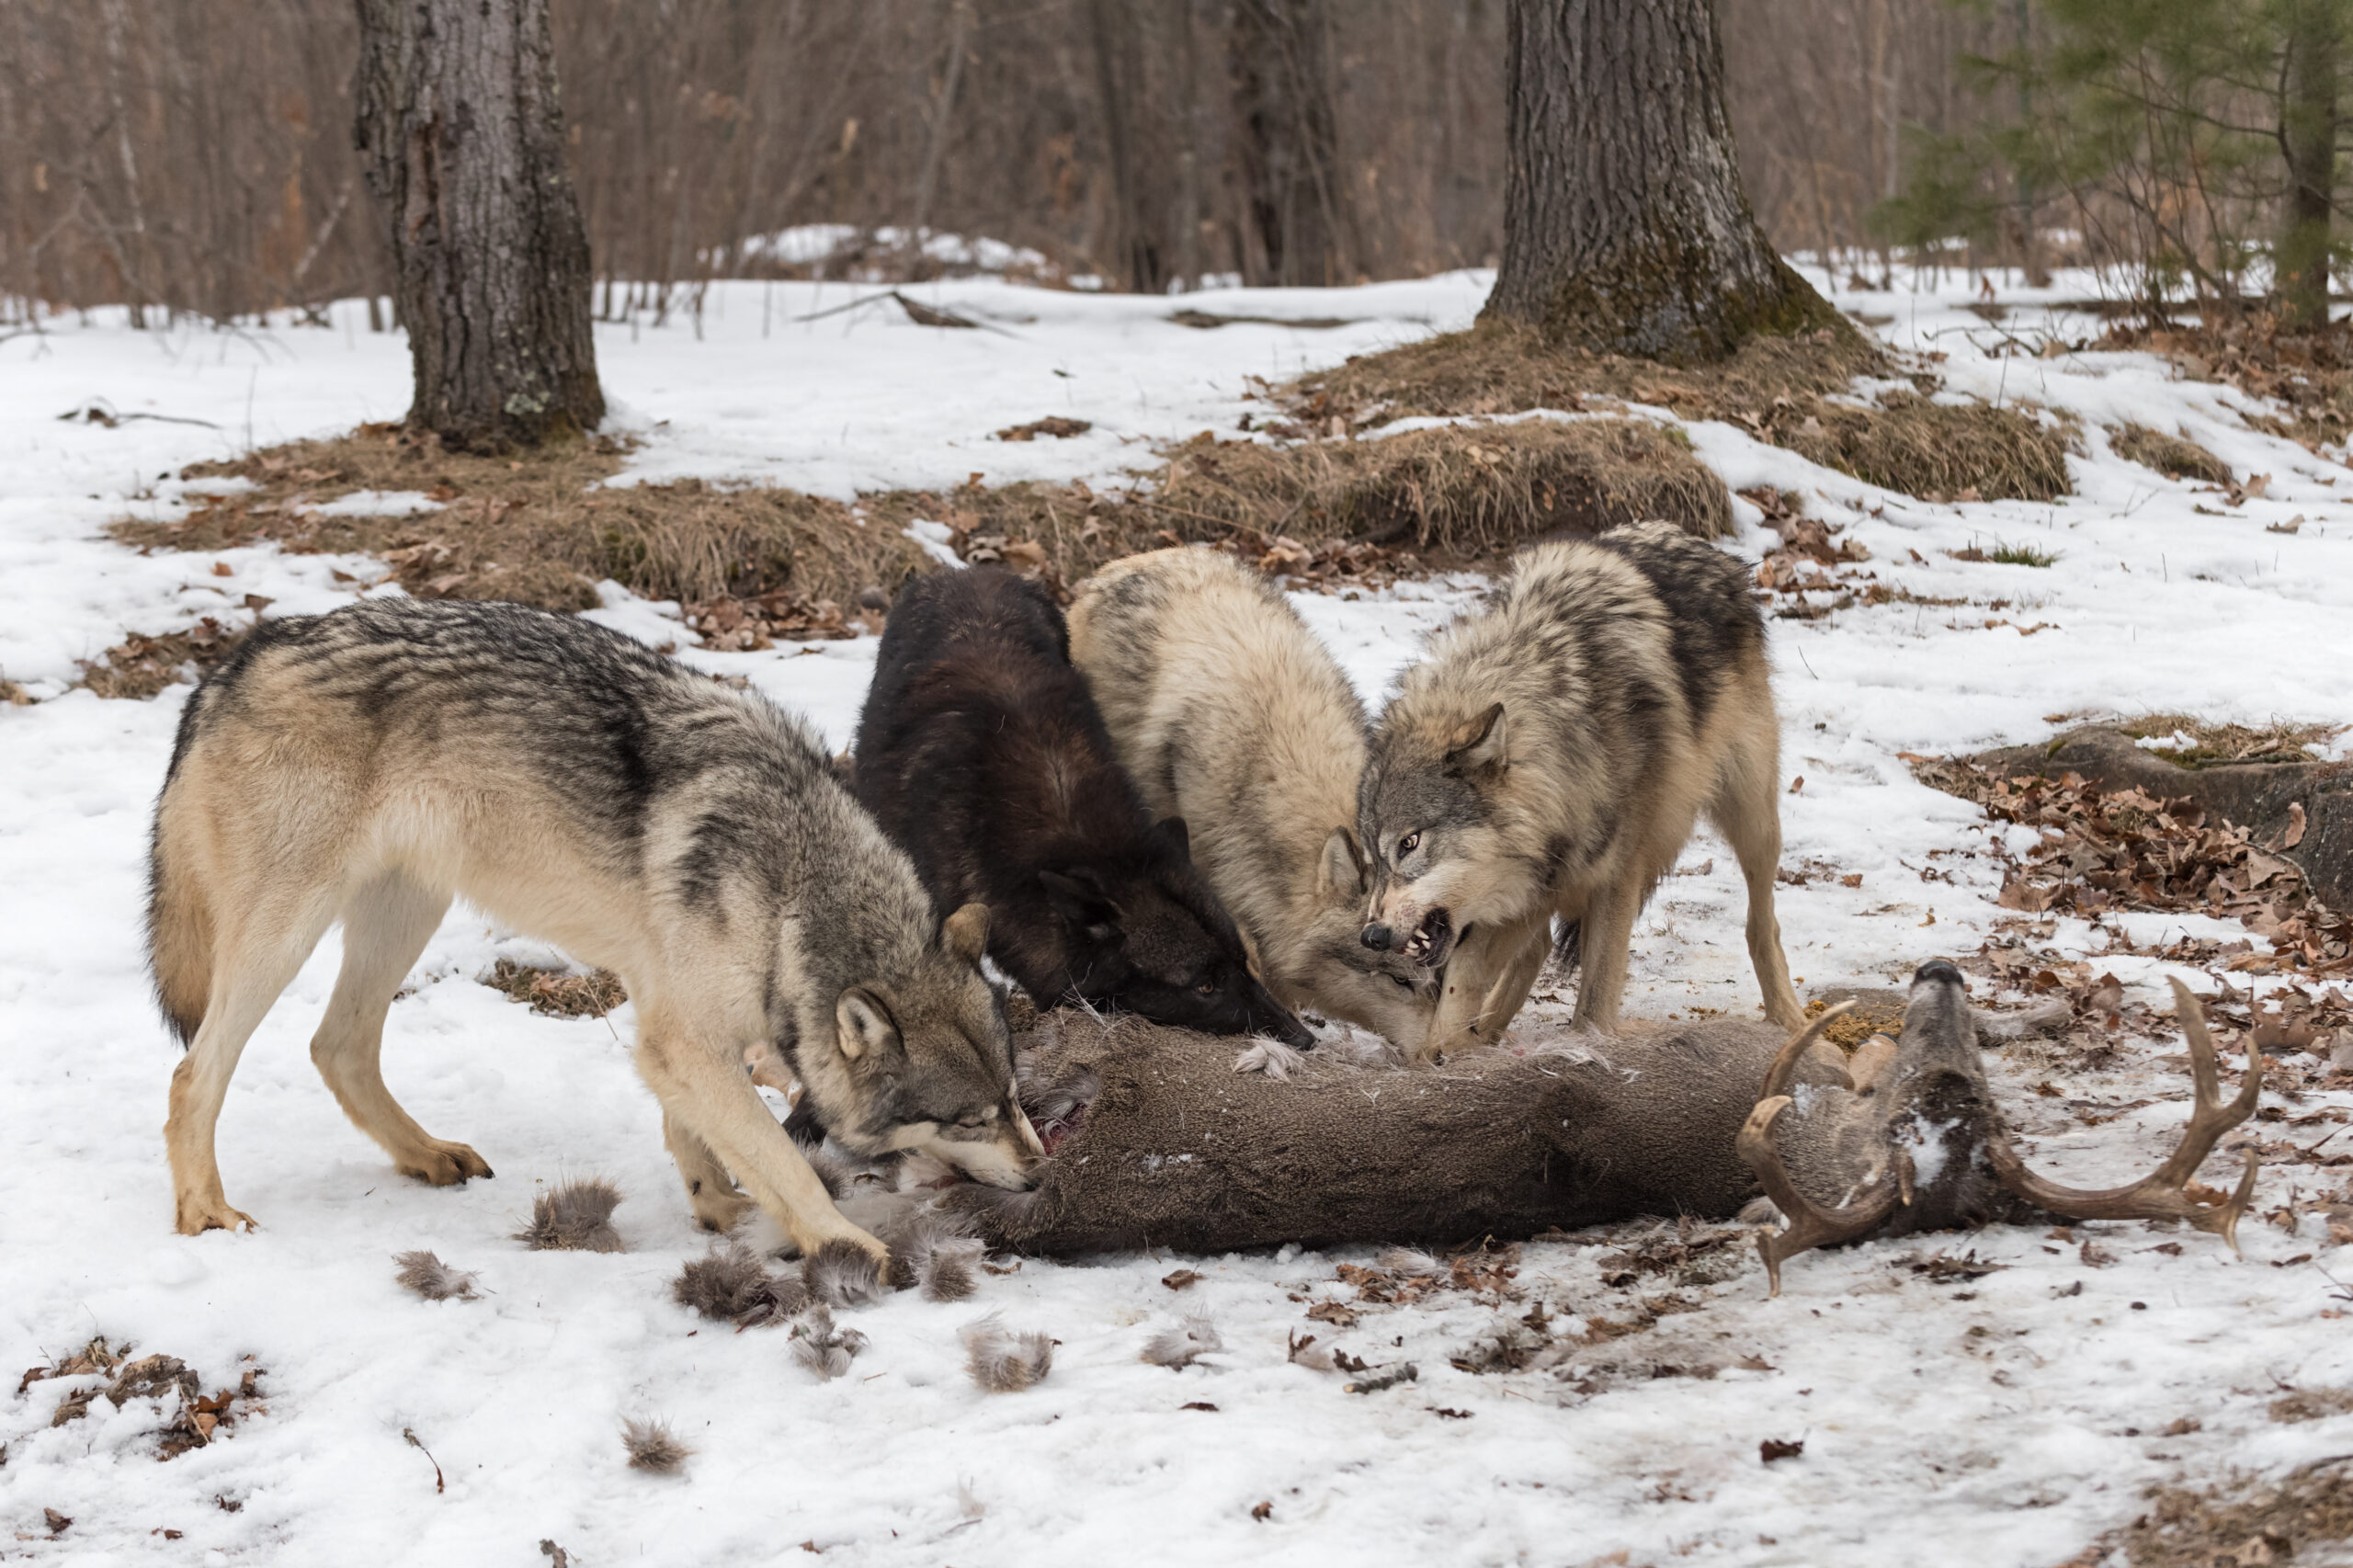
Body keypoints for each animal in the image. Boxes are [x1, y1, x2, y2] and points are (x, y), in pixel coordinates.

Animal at [148, 597, 1039, 1264]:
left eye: (1011, 1097)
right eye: (967, 1120)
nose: (1040, 1175)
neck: (793, 888)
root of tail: (239, 656)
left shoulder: (669, 1021)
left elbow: (698, 1131)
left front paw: (719, 1206)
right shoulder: (685, 1037)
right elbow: (783, 1159)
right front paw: (850, 1247)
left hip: (406, 913)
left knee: (337, 1046)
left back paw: (425, 1155)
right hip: (285, 935)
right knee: (195, 1072)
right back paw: (206, 1215)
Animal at [1357, 522, 1804, 1056]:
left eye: (1410, 842)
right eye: (1373, 860)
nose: (1372, 936)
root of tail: (1697, 542)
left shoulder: (1616, 874)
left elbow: (1594, 994)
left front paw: (1587, 1045)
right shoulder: (1528, 884)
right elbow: (1461, 986)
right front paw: (1444, 1051)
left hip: (1751, 817)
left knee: (1764, 924)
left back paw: (1789, 1019)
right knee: (1538, 949)